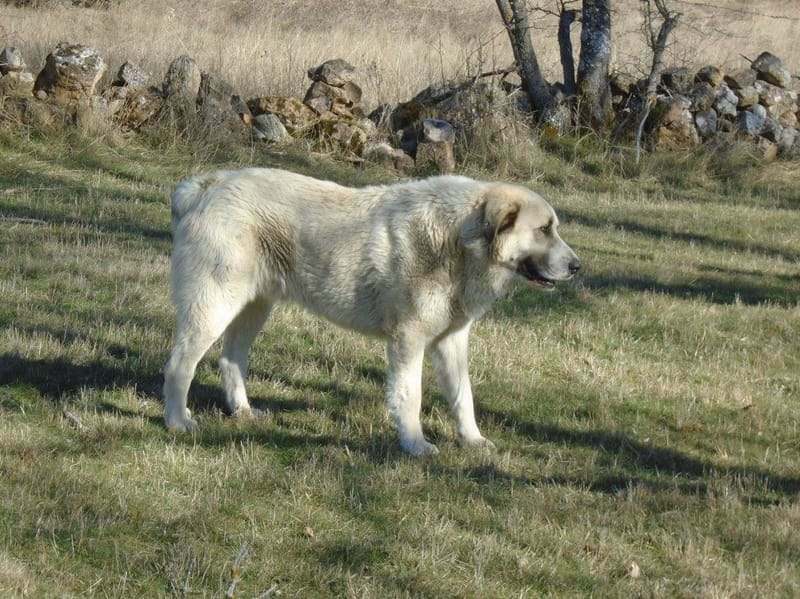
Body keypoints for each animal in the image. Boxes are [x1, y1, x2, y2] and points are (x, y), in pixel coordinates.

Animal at [162, 169, 580, 454]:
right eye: (544, 229)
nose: (577, 267)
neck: (457, 241)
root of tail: (206, 186)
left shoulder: (452, 343)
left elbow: (464, 397)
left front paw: (472, 440)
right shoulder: (408, 341)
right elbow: (410, 396)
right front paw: (414, 446)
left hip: (253, 309)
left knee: (230, 360)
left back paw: (244, 412)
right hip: (213, 308)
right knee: (180, 365)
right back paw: (177, 422)